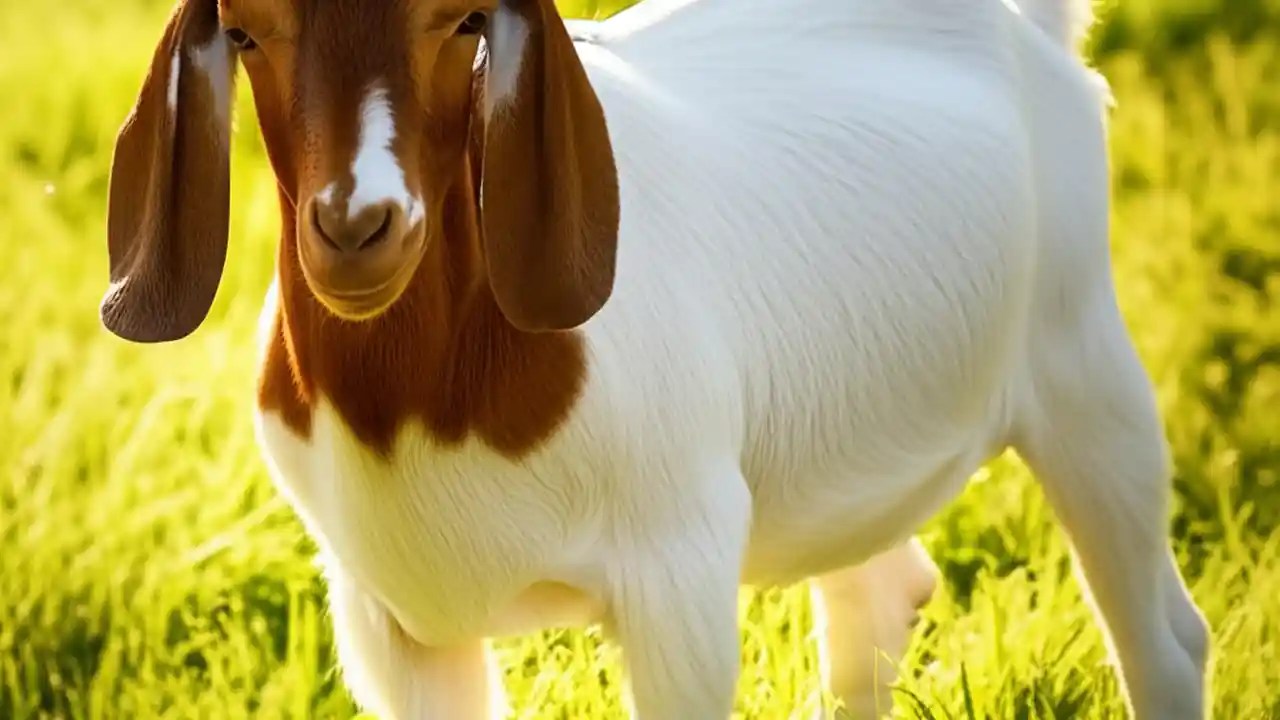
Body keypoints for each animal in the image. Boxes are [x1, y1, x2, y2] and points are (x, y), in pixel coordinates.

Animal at [100, 0, 1210, 717]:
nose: (358, 226)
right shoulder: (392, 619)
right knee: (871, 601)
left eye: (461, 23)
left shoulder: (679, 564)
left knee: (1164, 638)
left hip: (1078, 352)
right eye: (246, 32)